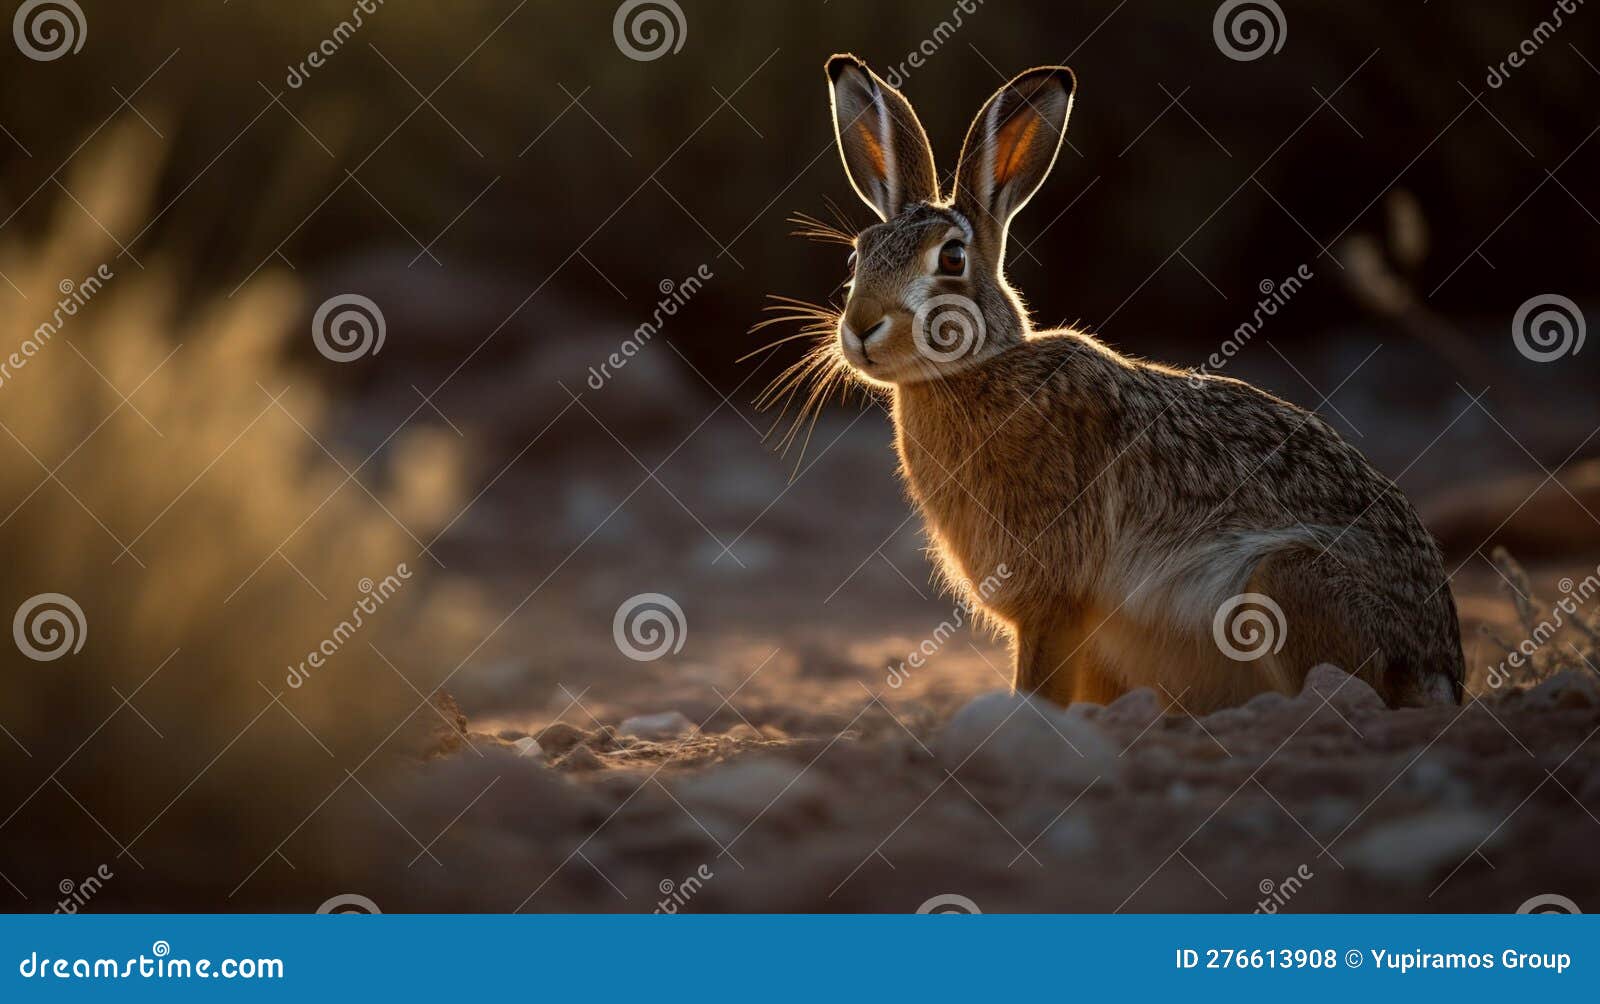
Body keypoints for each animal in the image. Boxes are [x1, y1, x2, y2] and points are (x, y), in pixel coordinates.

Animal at [803, 53, 1463, 712]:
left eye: (952, 259)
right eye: (857, 255)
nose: (860, 328)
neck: (976, 370)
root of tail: (1442, 665)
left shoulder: (1055, 599)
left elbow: (1039, 685)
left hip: (1283, 585)